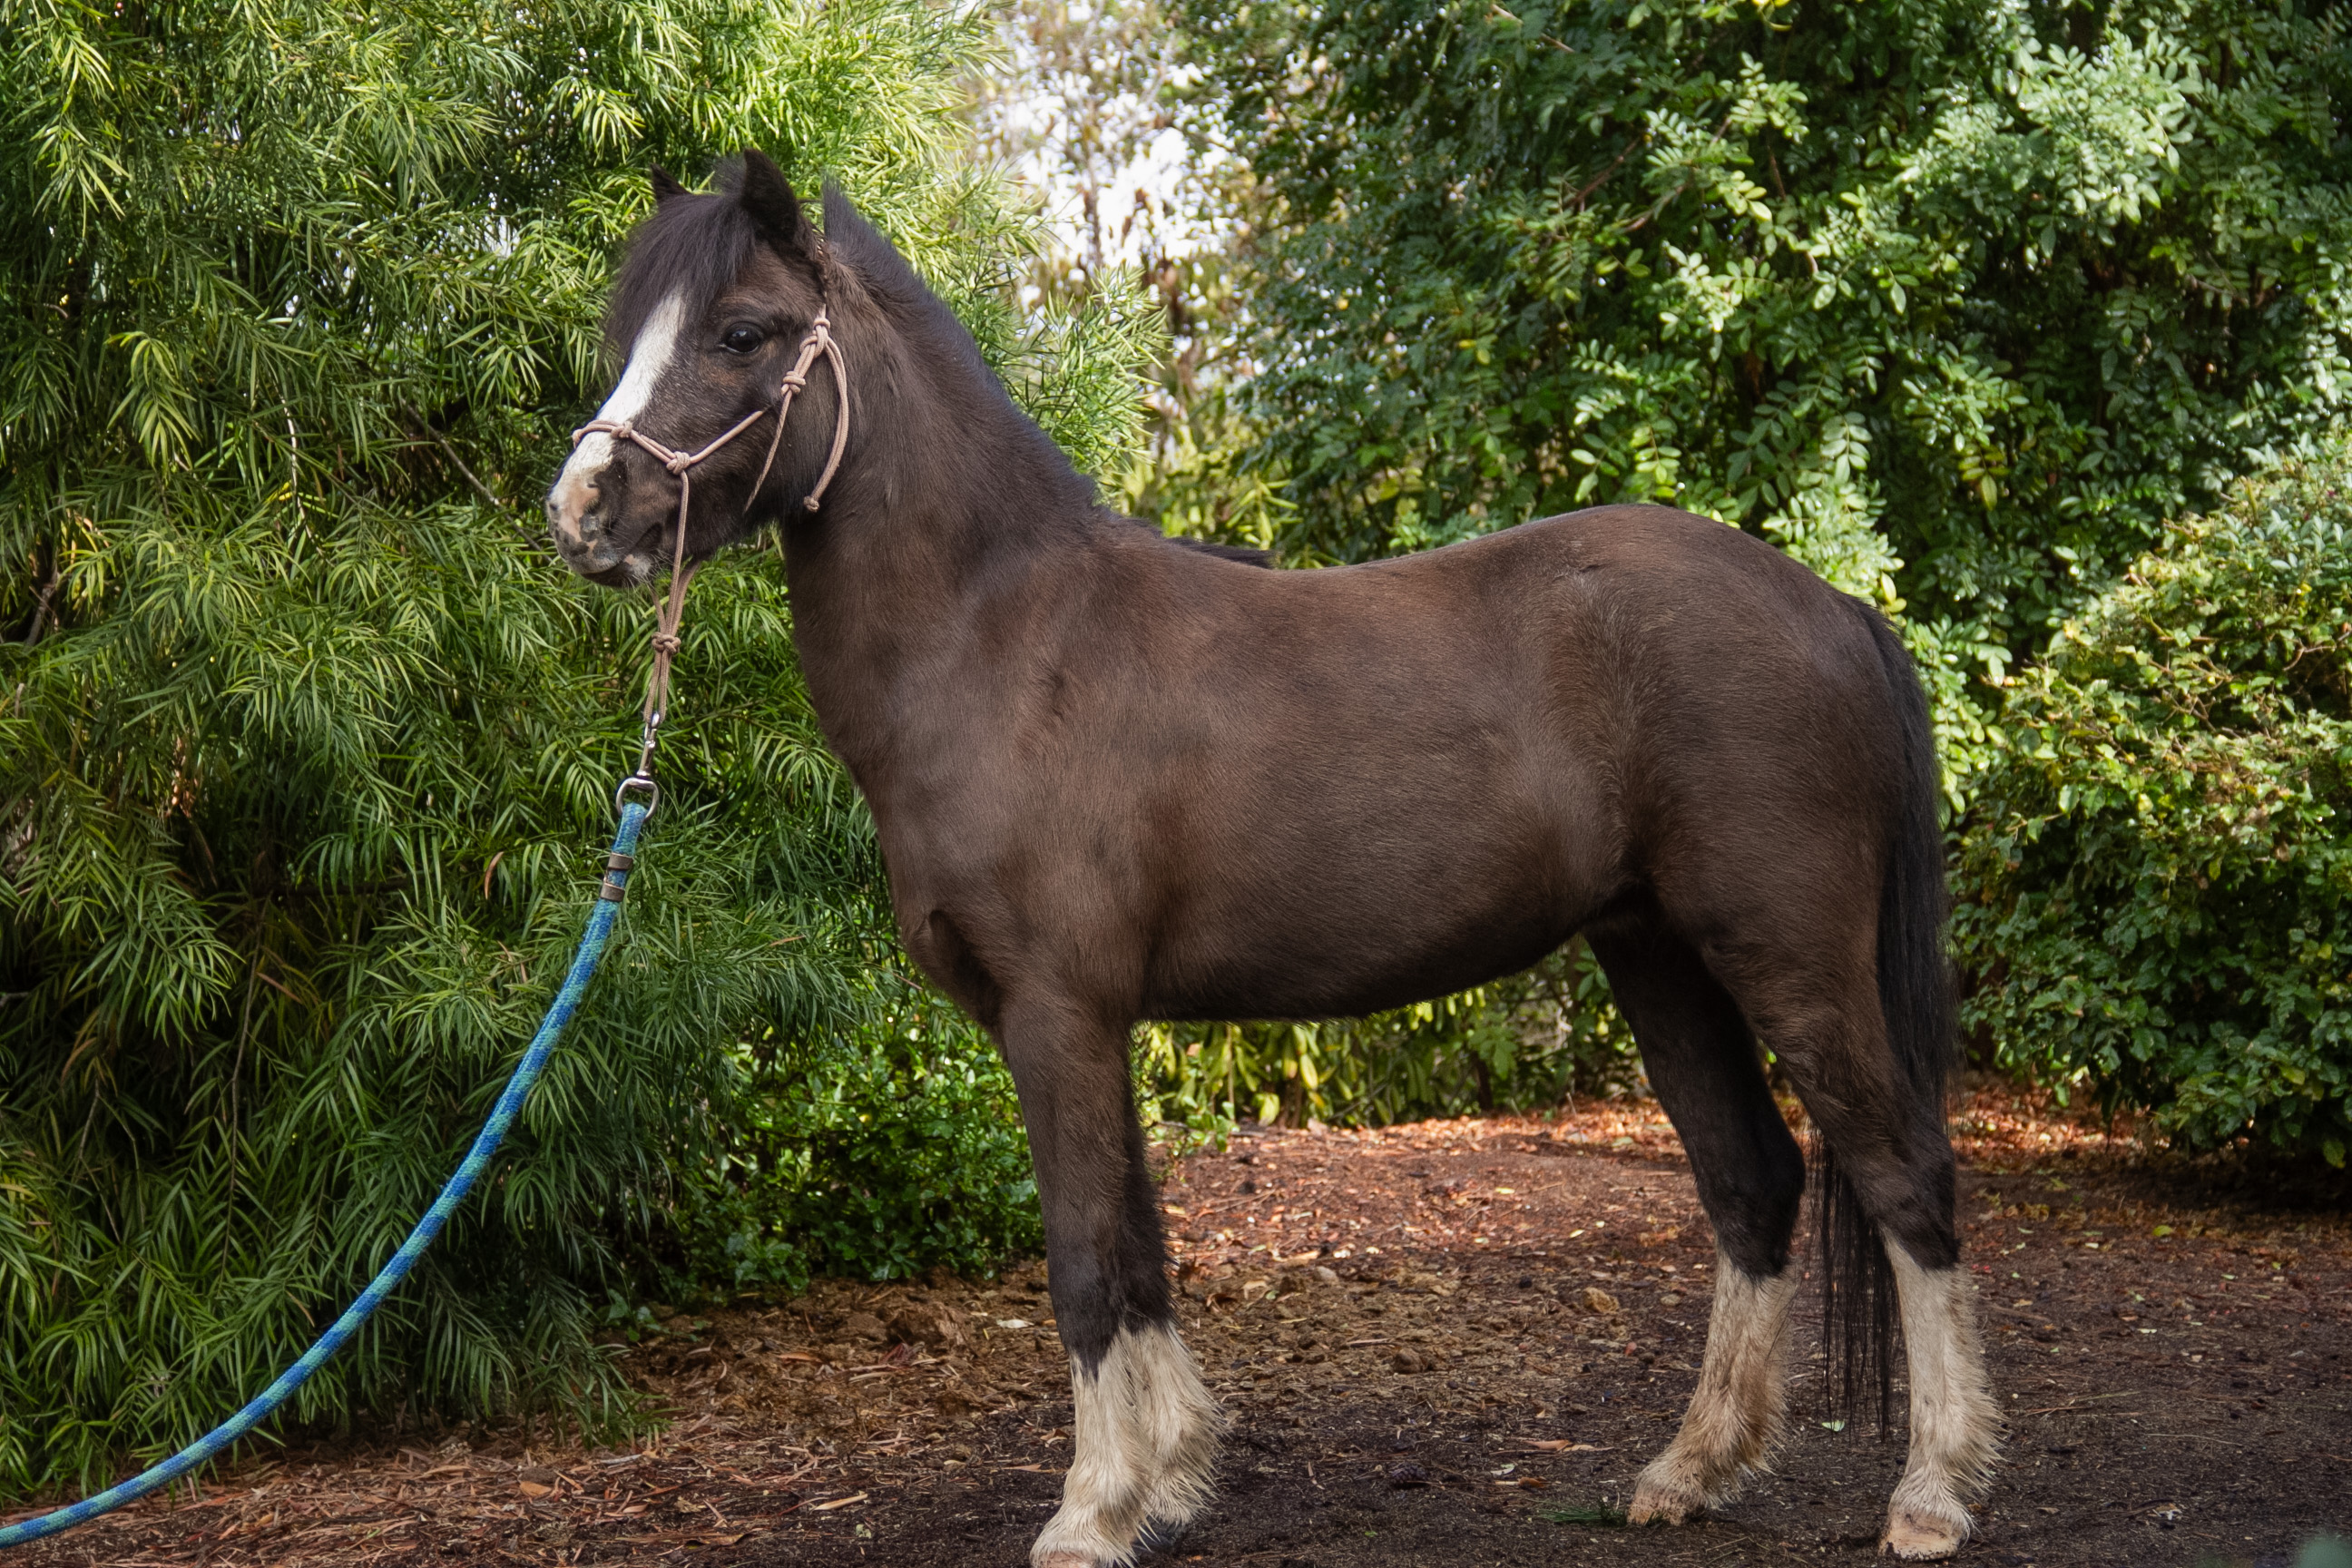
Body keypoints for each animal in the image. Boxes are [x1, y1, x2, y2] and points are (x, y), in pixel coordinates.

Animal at [543, 151, 1999, 1566]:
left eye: (742, 331)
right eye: (629, 335)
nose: (581, 512)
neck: (1004, 640)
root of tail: (1831, 605)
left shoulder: (1058, 1012)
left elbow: (1085, 1259)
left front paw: (1089, 1514)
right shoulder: (1087, 1021)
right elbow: (1139, 1252)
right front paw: (1168, 1482)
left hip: (1790, 957)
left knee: (1904, 1176)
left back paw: (1930, 1497)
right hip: (1659, 955)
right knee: (1752, 1182)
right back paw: (1688, 1474)